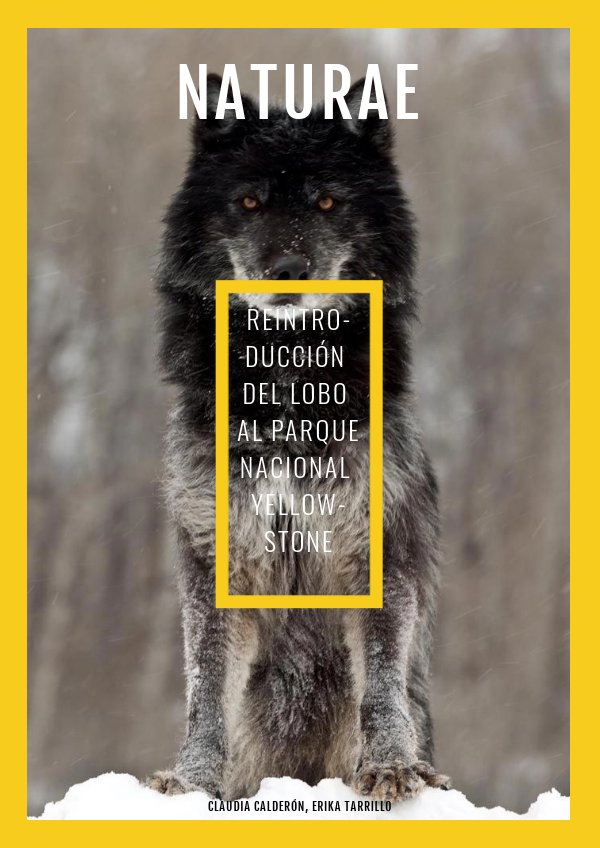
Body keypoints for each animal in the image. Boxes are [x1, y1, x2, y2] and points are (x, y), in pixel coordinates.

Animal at [148, 75, 450, 802]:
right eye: (250, 201)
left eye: (327, 201)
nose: (287, 267)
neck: (288, 387)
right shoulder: (216, 558)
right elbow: (205, 689)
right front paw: (193, 782)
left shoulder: (378, 546)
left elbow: (382, 682)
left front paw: (390, 768)